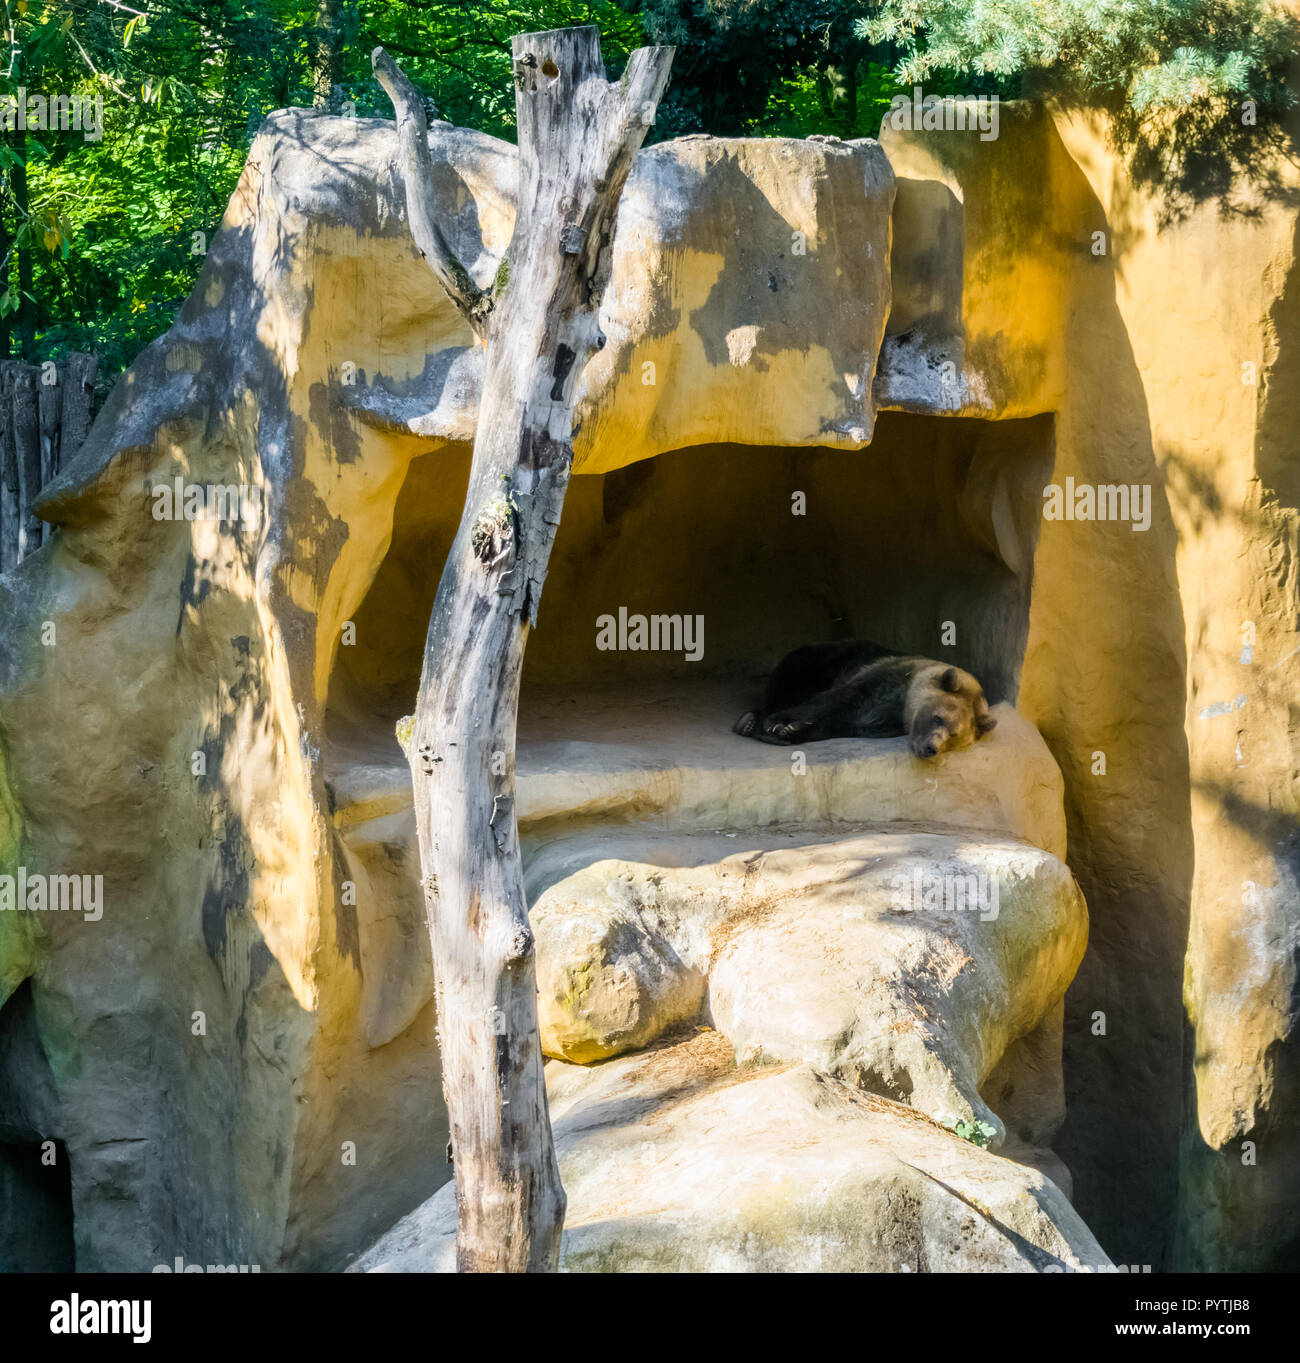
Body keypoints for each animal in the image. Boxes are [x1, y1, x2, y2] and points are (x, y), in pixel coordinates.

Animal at [733, 638, 997, 758]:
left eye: (954, 736)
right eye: (938, 718)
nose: (931, 748)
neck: (904, 701)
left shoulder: (884, 722)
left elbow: (843, 724)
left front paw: (791, 731)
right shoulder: (881, 678)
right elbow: (832, 701)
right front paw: (776, 724)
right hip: (814, 662)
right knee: (786, 686)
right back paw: (750, 720)